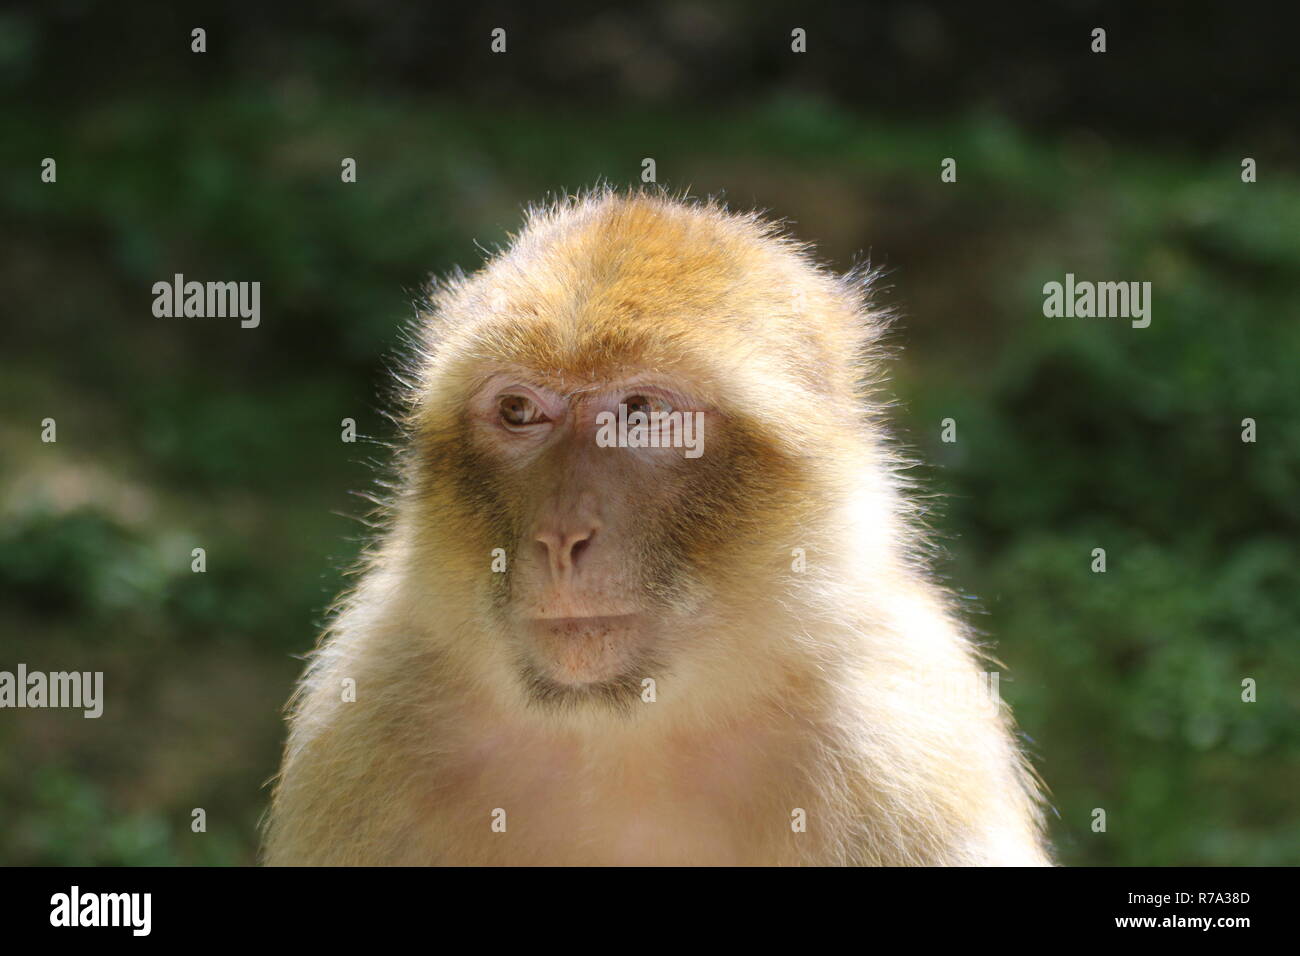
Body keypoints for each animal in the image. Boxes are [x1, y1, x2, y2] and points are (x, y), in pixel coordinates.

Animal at [263, 187, 1051, 866]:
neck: (623, 729)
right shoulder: (363, 720)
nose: (560, 538)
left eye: (642, 412)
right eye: (519, 411)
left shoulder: (905, 744)